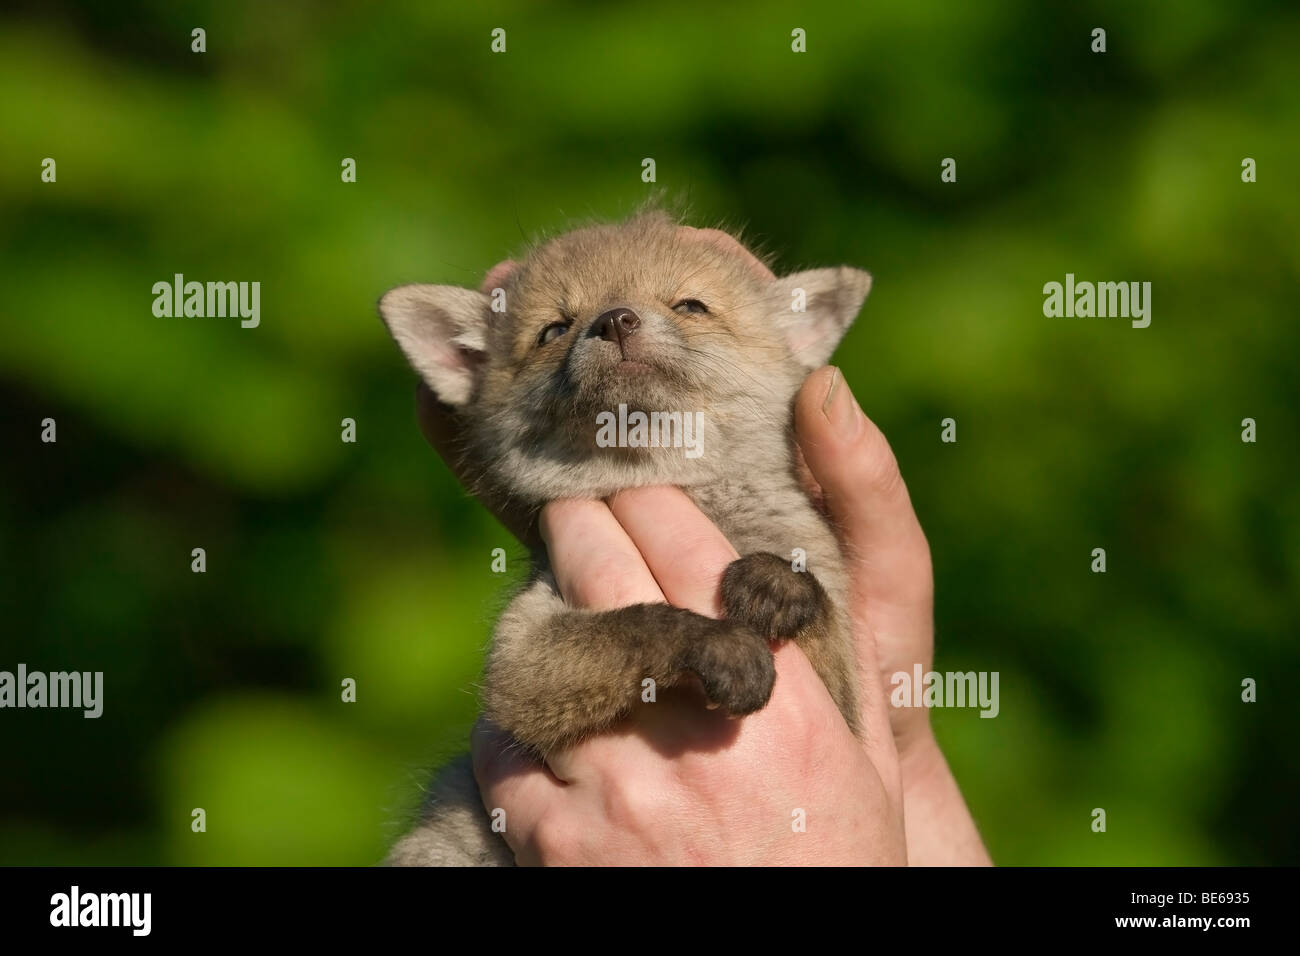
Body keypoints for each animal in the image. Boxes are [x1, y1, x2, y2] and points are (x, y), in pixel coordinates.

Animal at [378, 209, 872, 865]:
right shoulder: (518, 657)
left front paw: (775, 584)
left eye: (691, 305)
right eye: (553, 330)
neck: (671, 484)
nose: (615, 319)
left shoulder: (844, 708)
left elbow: (816, 601)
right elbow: (637, 624)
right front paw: (716, 644)